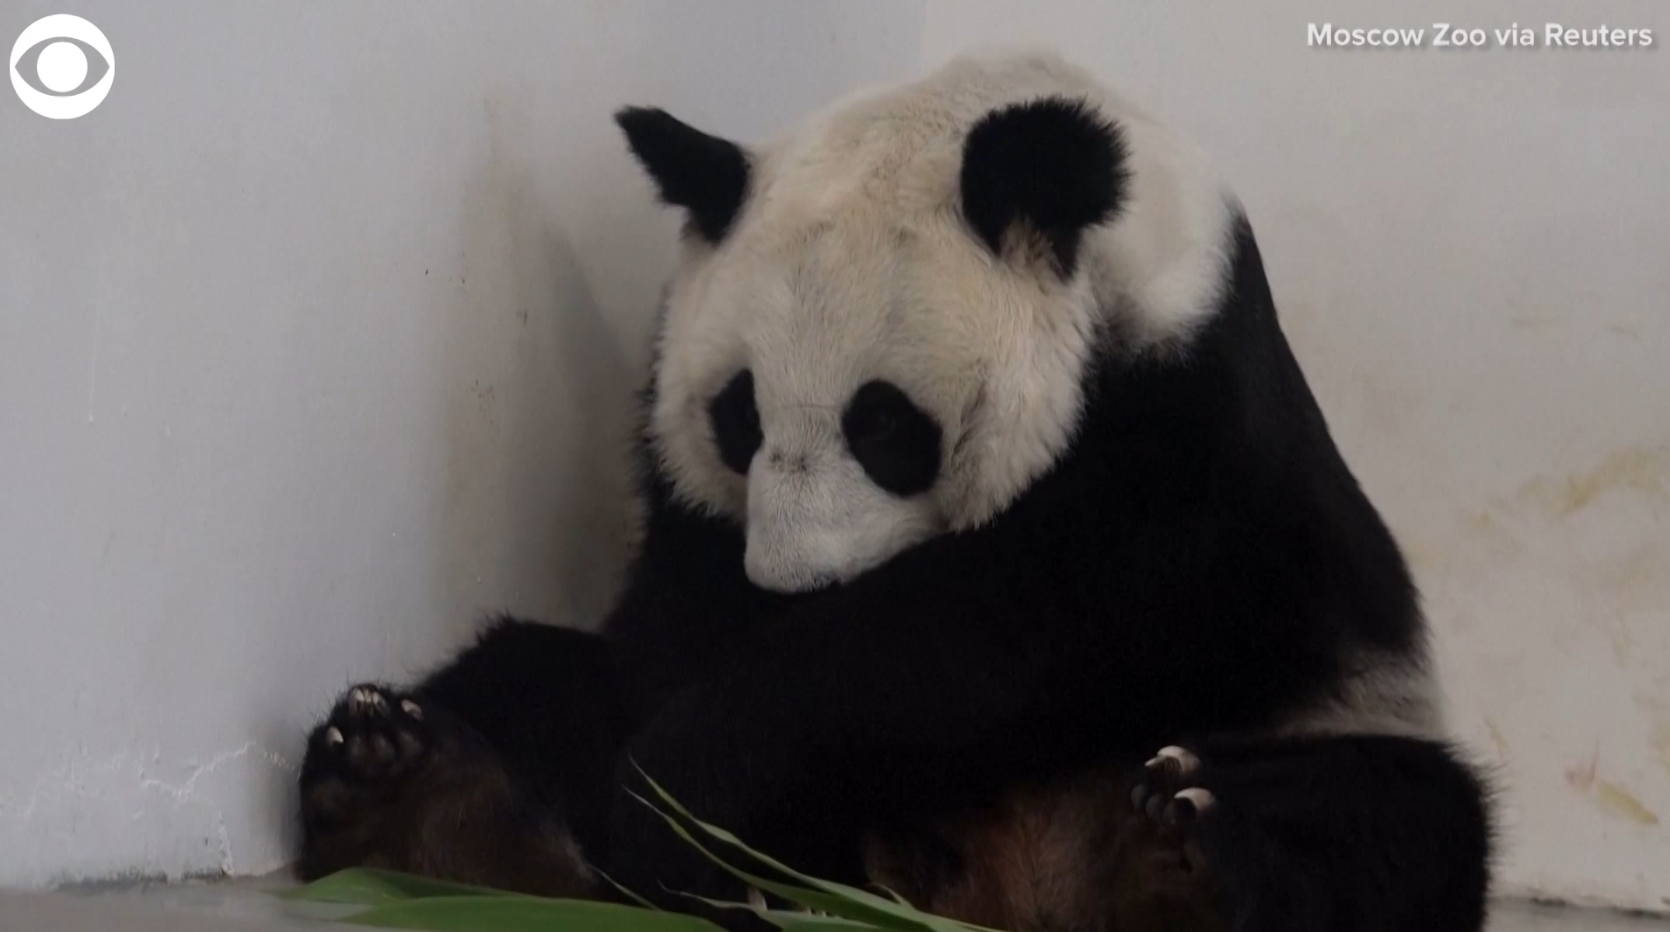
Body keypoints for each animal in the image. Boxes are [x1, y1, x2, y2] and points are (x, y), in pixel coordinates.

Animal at [294, 49, 1496, 932]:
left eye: (881, 424)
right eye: (740, 414)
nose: (789, 588)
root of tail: (1008, 900)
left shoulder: (1201, 426)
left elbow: (1056, 616)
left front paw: (696, 786)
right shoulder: (686, 492)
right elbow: (662, 630)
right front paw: (669, 809)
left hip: (1318, 730)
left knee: (1384, 826)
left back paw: (1183, 861)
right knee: (524, 678)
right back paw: (411, 802)